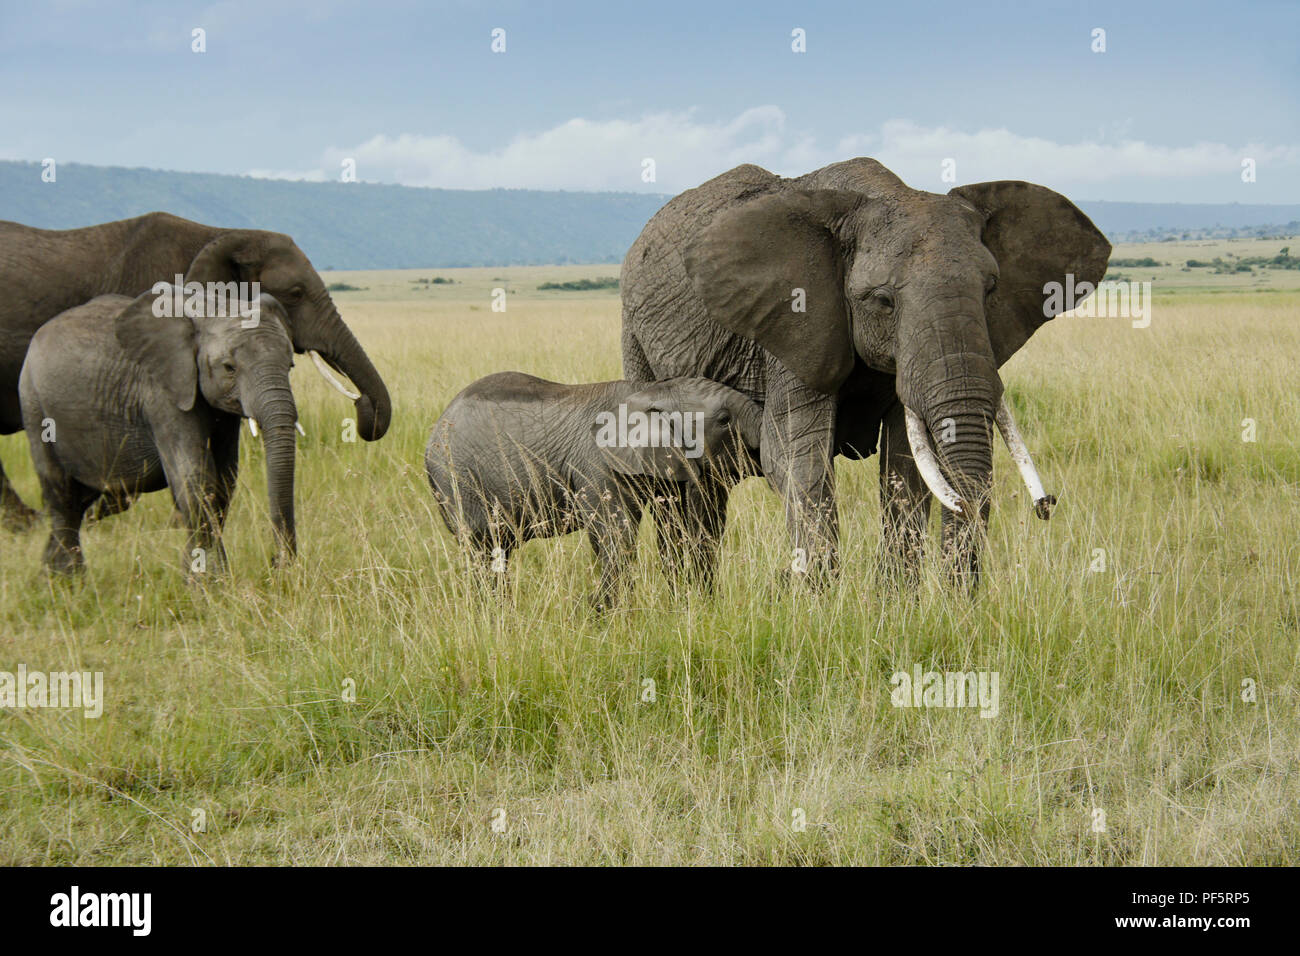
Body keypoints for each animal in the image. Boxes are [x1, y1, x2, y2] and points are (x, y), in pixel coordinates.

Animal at [19, 286, 298, 574]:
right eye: (229, 367)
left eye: (290, 365)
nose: (276, 564)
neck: (211, 307)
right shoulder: (161, 392)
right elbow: (195, 479)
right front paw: (208, 581)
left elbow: (224, 482)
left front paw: (212, 576)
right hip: (33, 403)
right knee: (61, 495)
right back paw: (68, 580)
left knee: (80, 501)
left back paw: (51, 577)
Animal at [424, 372, 762, 606]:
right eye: (725, 420)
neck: (648, 390)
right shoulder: (597, 466)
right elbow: (617, 538)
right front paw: (607, 618)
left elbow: (676, 529)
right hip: (456, 479)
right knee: (482, 549)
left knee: (498, 552)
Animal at [620, 158, 1110, 584]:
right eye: (882, 301)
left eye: (990, 290)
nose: (1046, 506)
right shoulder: (794, 321)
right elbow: (796, 459)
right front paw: (817, 604)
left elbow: (906, 468)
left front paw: (898, 610)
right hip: (635, 336)